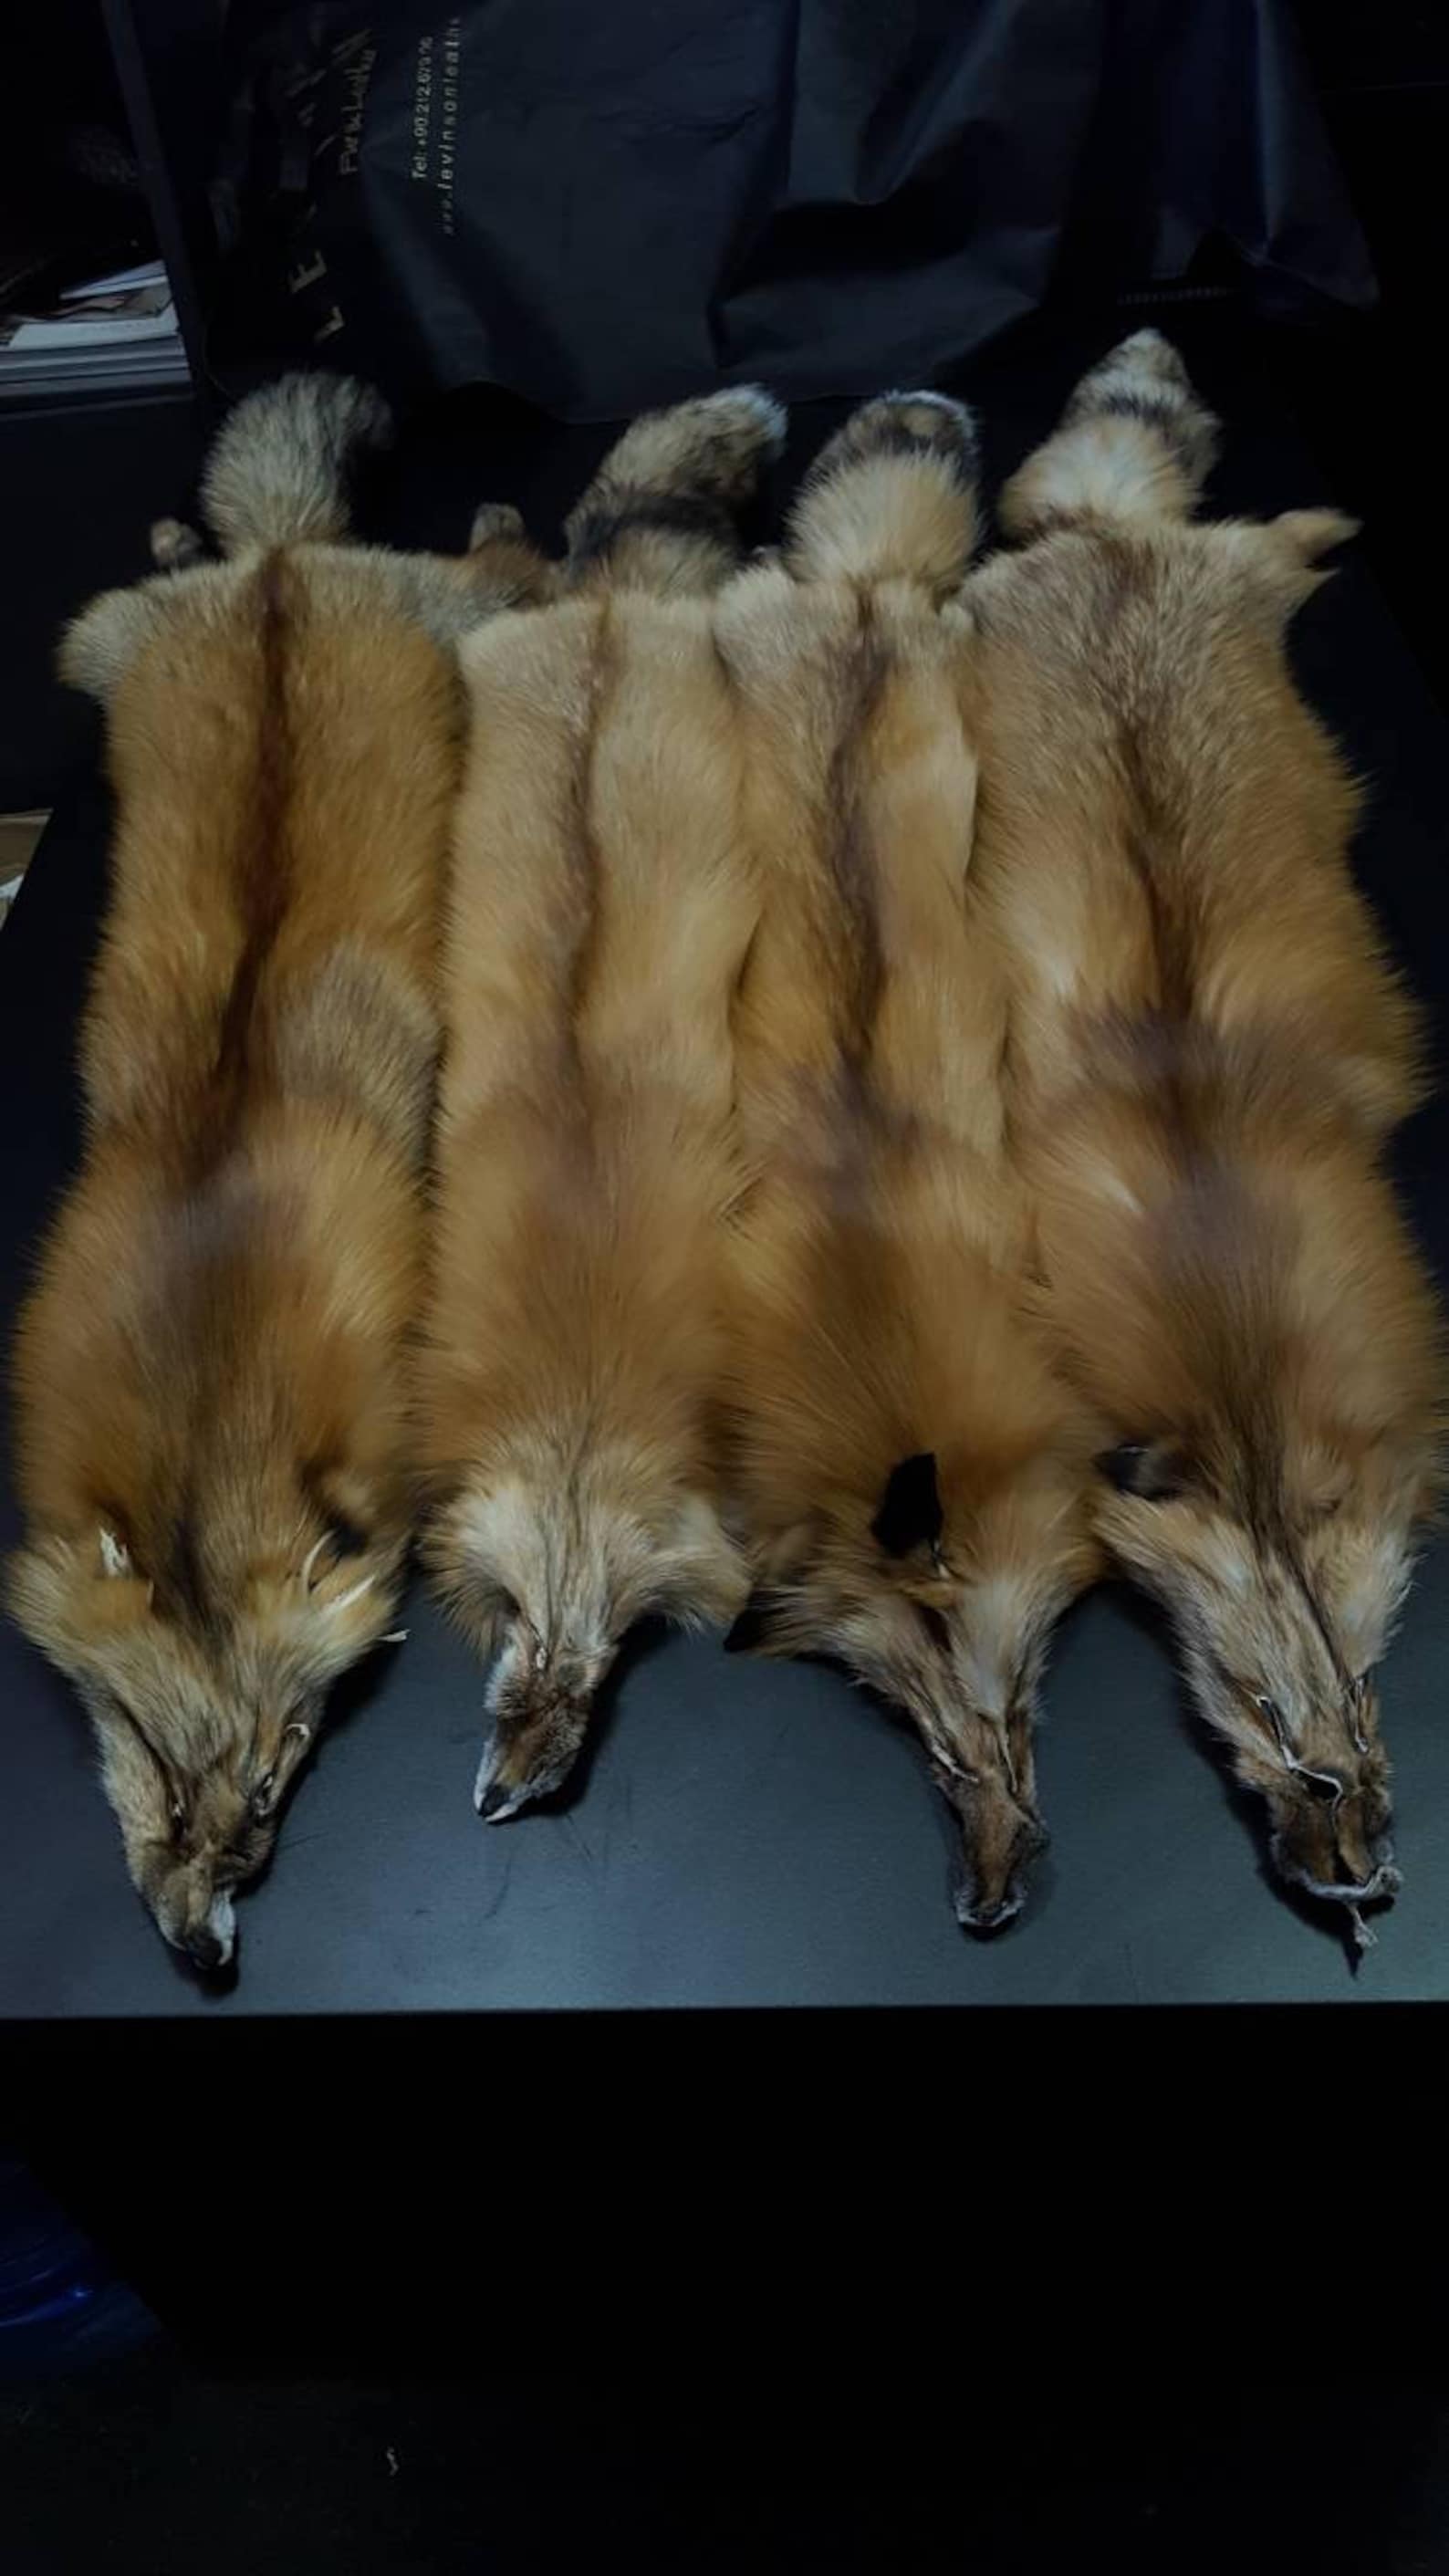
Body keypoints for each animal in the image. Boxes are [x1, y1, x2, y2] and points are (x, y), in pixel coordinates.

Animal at [8, 373, 557, 1969]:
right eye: (145, 1749)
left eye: (272, 1775)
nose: (201, 1951)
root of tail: (284, 572)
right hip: (112, 635)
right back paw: (194, 524)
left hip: (450, 617)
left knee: (502, 564)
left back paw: (502, 510)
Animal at [964, 330, 1442, 1938]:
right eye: (1270, 1727)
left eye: (1364, 1689)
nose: (1360, 1884)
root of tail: (1118, 549)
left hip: (1223, 572)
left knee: (1258, 533)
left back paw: (1322, 522)